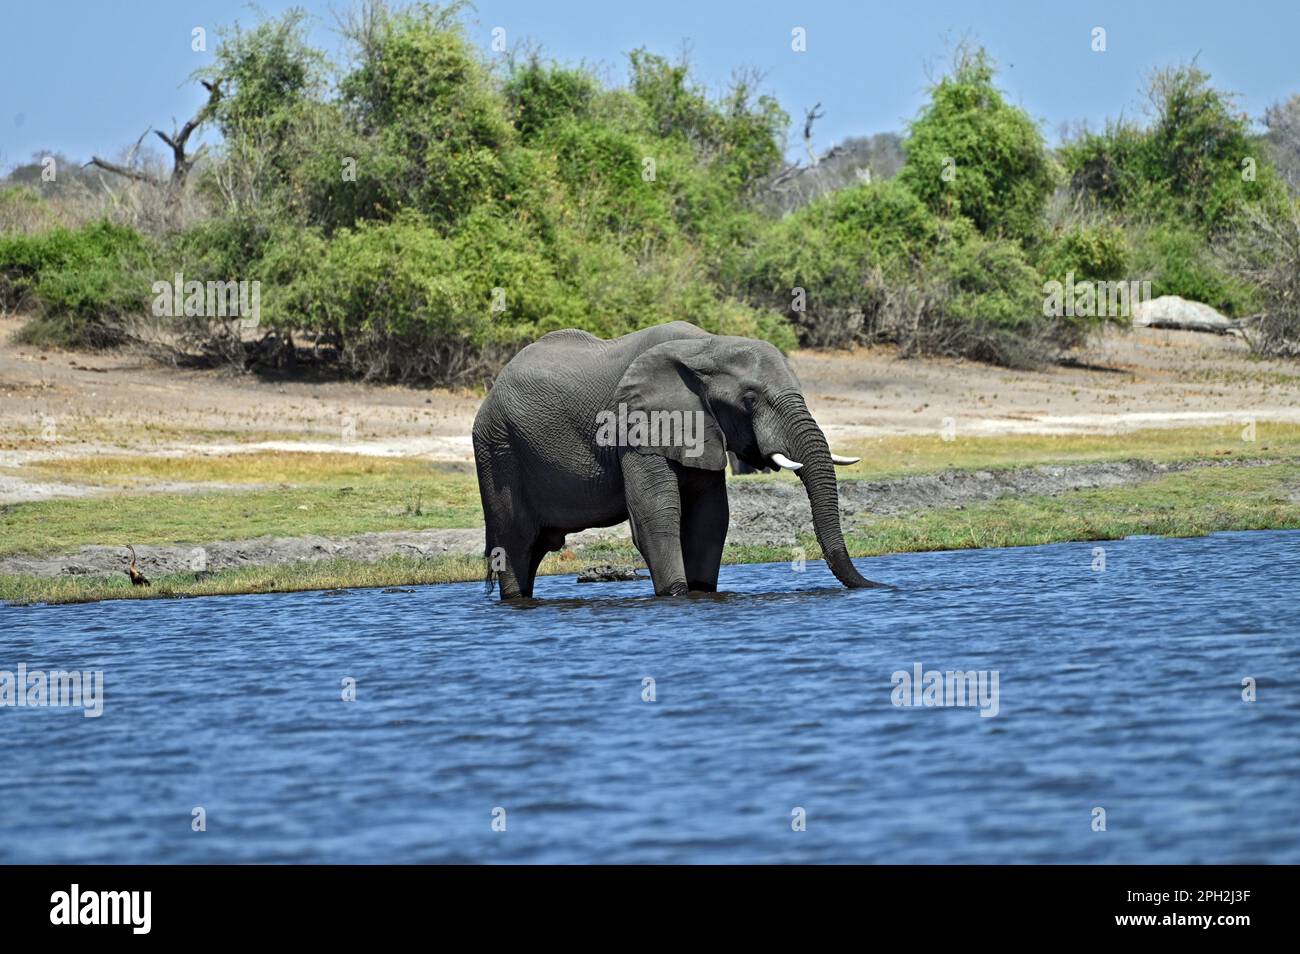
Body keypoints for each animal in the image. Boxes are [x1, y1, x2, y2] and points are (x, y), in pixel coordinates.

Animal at [472, 321, 877, 599]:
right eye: (750, 399)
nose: (876, 585)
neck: (706, 346)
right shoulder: (635, 424)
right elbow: (655, 514)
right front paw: (677, 594)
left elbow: (710, 517)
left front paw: (700, 592)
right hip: (497, 450)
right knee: (515, 542)